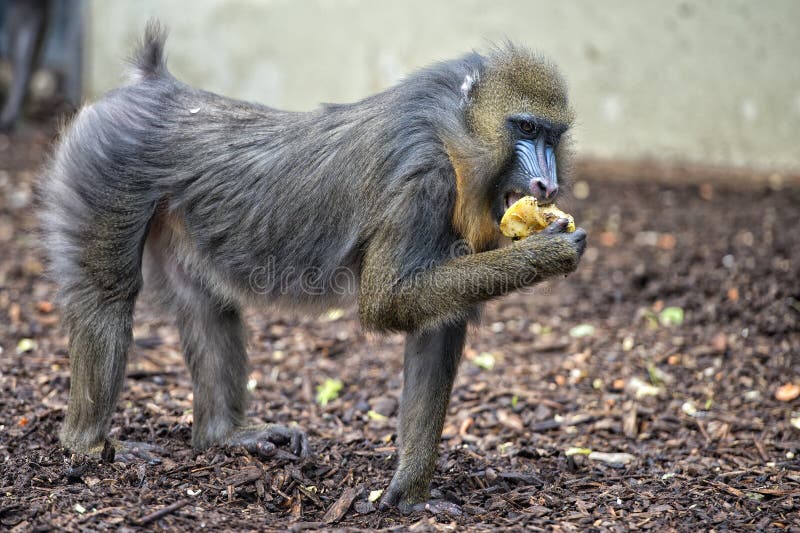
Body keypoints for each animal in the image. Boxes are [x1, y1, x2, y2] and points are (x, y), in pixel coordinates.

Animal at [40, 21, 586, 512]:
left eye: (552, 137)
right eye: (526, 128)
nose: (548, 185)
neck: (456, 139)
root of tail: (153, 86)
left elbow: (434, 335)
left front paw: (411, 496)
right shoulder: (422, 180)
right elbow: (387, 303)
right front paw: (547, 253)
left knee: (205, 303)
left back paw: (224, 436)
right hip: (103, 172)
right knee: (106, 297)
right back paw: (87, 443)